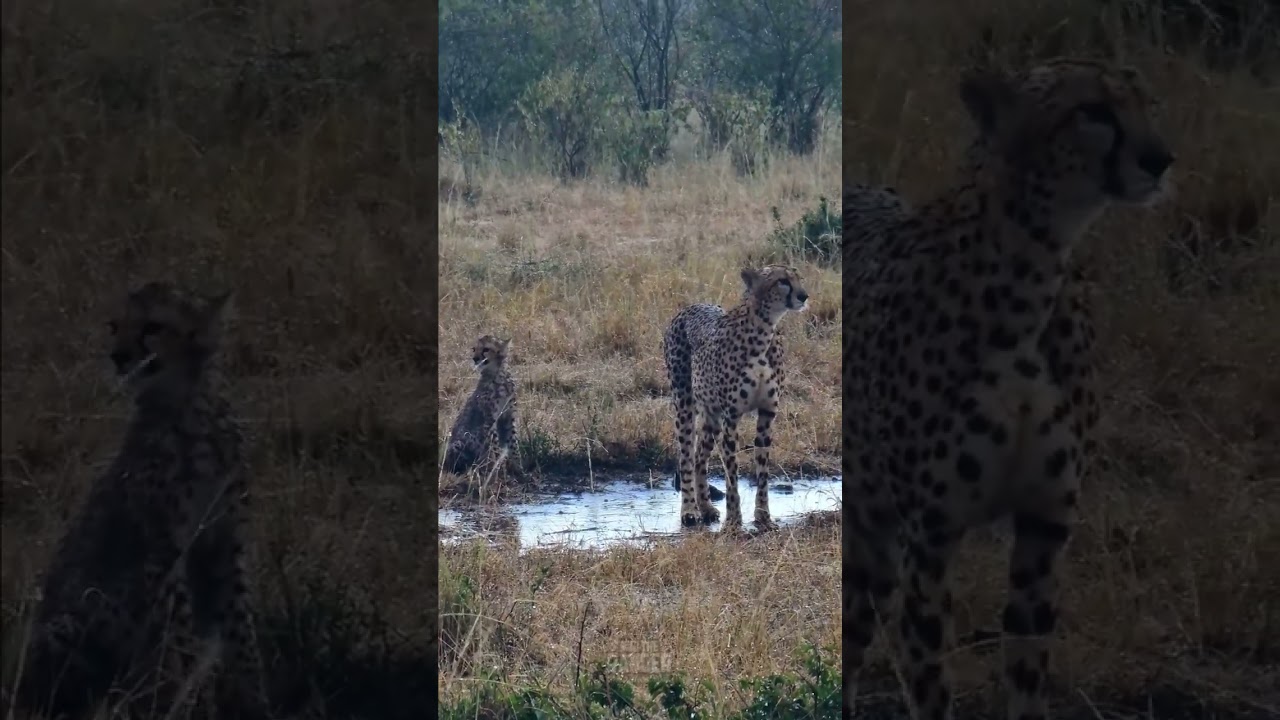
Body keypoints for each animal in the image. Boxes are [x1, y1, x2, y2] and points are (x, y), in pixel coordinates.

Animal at [16, 282, 269, 720]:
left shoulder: (226, 544)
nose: (117, 356)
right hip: (74, 617)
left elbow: (240, 630)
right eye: (114, 326)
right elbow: (182, 639)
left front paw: (256, 702)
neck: (190, 409)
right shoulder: (162, 554)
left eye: (153, 327)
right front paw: (197, 704)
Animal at [442, 335, 517, 478]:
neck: (498, 376)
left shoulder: (509, 417)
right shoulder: (489, 421)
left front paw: (518, 468)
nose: (475, 358)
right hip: (460, 440)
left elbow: (513, 442)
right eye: (474, 349)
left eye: (486, 349)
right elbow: (495, 447)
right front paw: (500, 470)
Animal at [662, 265, 810, 531]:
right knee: (686, 456)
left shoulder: (767, 414)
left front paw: (763, 517)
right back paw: (689, 511)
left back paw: (706, 507)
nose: (804, 296)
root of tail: (691, 306)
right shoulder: (731, 417)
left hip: (711, 414)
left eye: (797, 277)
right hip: (684, 404)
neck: (763, 332)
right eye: (782, 281)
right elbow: (732, 475)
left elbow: (762, 471)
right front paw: (733, 522)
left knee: (699, 457)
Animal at [841, 58, 1173, 720]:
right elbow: (930, 684)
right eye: (1092, 110)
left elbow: (1024, 676)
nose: (1161, 160)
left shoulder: (1044, 530)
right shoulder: (930, 539)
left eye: (1145, 102)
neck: (1026, 289)